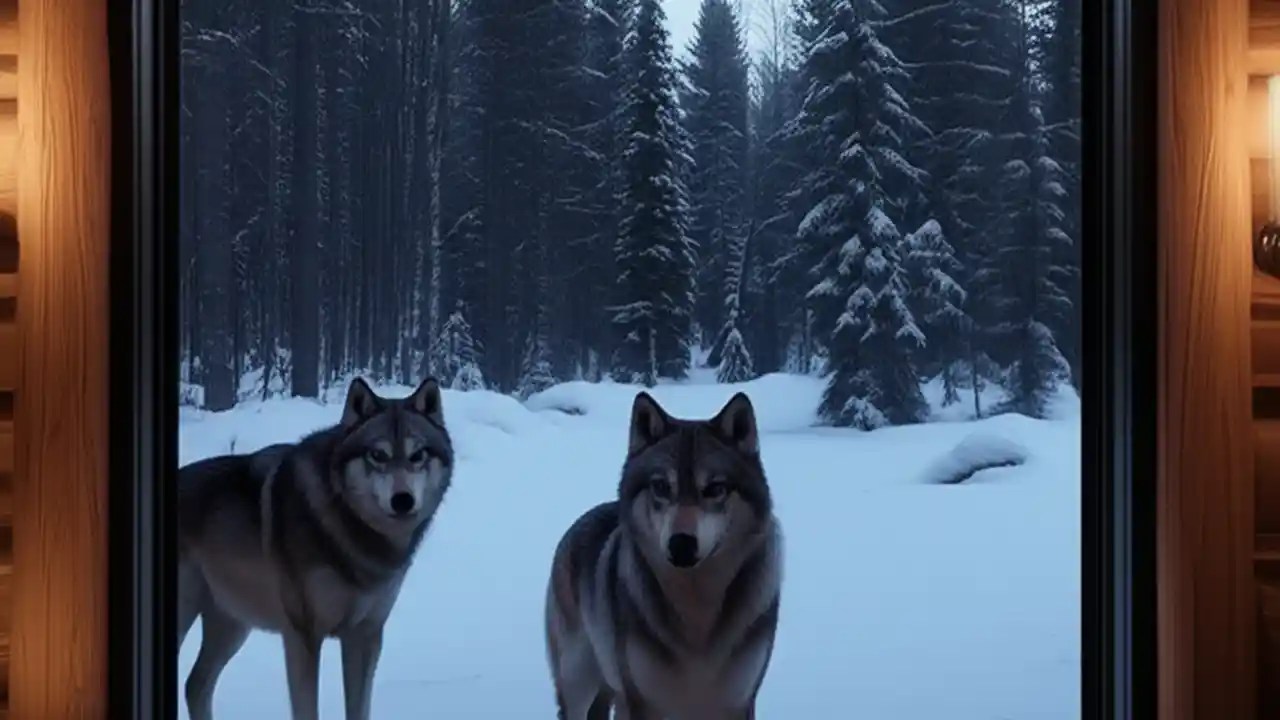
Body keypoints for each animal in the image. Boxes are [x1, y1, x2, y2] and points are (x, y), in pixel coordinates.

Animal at [177, 376, 454, 720]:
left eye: (418, 455)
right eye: (377, 455)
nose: (402, 500)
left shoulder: (366, 635)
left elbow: (359, 709)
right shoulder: (303, 636)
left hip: (232, 625)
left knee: (195, 684)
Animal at [544, 391, 783, 720]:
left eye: (715, 488)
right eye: (660, 486)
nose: (681, 544)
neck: (697, 616)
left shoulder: (738, 703)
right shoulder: (642, 702)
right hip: (579, 680)